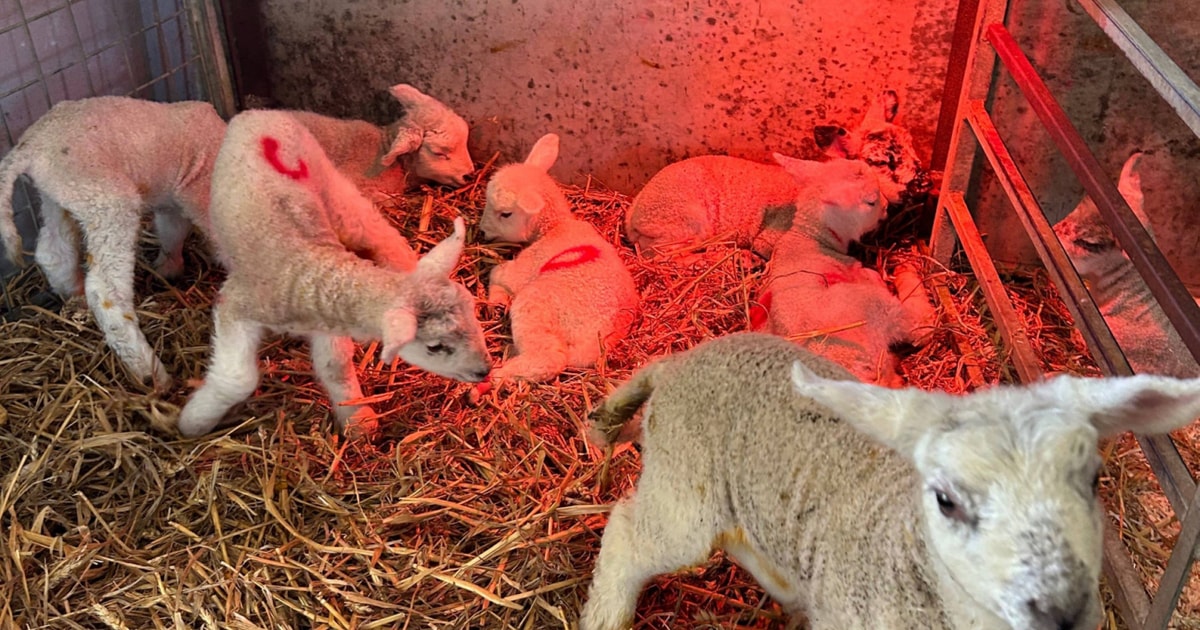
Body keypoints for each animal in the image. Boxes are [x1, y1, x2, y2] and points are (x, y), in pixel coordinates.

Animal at [0, 96, 227, 391]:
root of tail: (29, 148)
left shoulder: (170, 200)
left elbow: (172, 232)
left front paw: (169, 269)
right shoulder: (198, 187)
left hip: (58, 195)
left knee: (54, 253)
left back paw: (75, 298)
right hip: (106, 199)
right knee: (105, 291)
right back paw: (150, 373)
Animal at [175, 109, 490, 440]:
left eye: (474, 317)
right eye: (435, 347)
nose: (485, 370)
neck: (309, 269)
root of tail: (259, 112)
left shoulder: (327, 319)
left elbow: (335, 366)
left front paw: (357, 417)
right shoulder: (236, 304)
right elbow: (239, 378)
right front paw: (193, 422)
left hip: (329, 182)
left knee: (376, 232)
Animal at [475, 133, 639, 391]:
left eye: (506, 214)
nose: (482, 232)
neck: (555, 226)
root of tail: (593, 346)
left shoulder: (530, 262)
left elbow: (498, 273)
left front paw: (495, 300)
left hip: (537, 306)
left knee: (548, 358)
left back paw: (492, 379)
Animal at [580, 331, 1200, 630]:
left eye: (1093, 480)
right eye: (946, 500)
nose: (1063, 613)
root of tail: (678, 360)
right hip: (684, 480)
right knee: (629, 534)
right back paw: (605, 616)